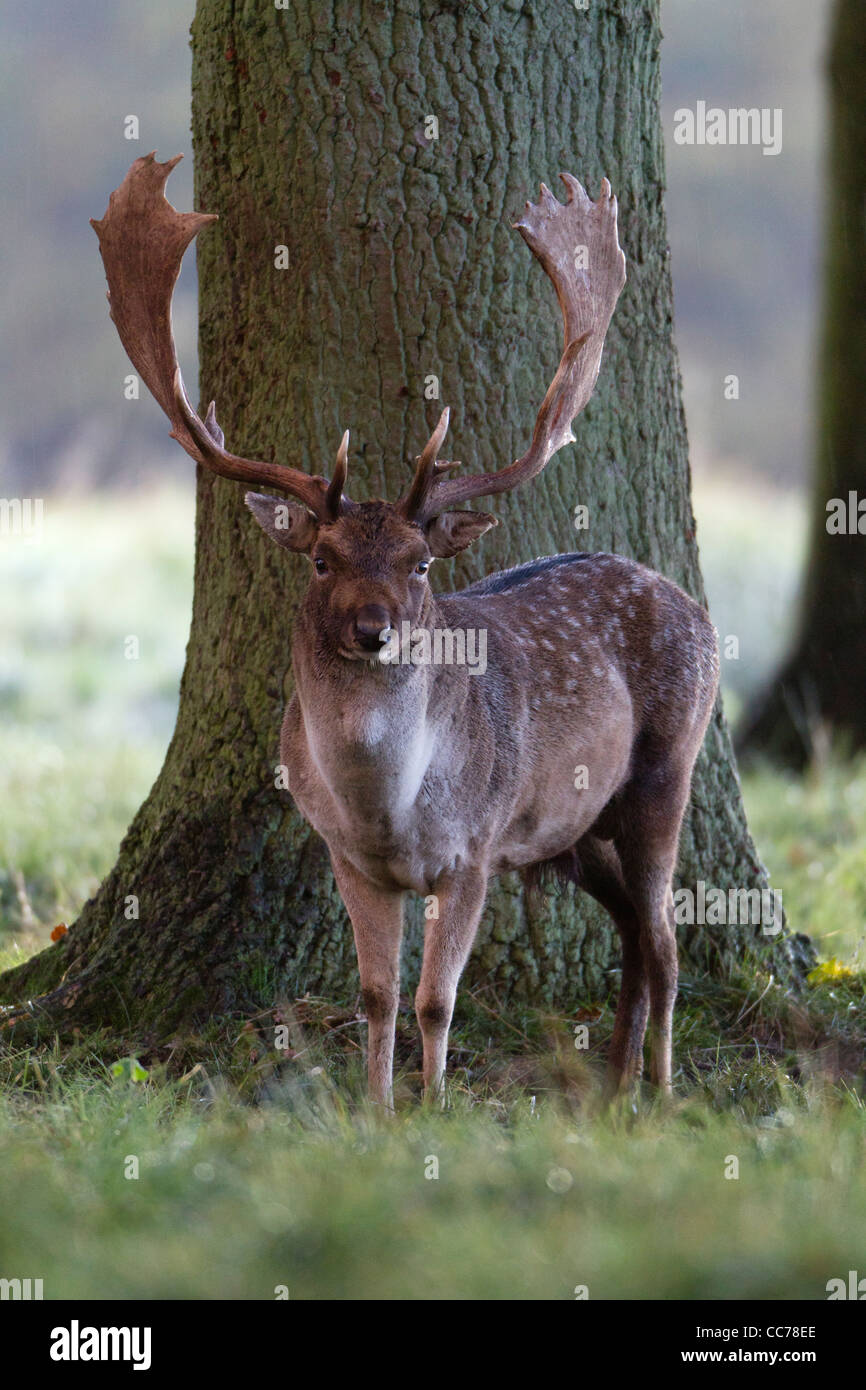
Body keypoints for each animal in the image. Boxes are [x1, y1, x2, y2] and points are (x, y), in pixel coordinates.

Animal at [92, 153, 719, 1108]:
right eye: (322, 560)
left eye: (420, 565)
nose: (373, 629)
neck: (386, 809)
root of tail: (696, 607)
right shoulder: (348, 858)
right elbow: (376, 994)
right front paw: (380, 1111)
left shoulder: (475, 849)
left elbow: (437, 998)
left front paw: (438, 1107)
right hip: (575, 828)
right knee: (631, 939)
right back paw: (612, 1090)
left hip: (666, 767)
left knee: (666, 940)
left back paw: (662, 1093)